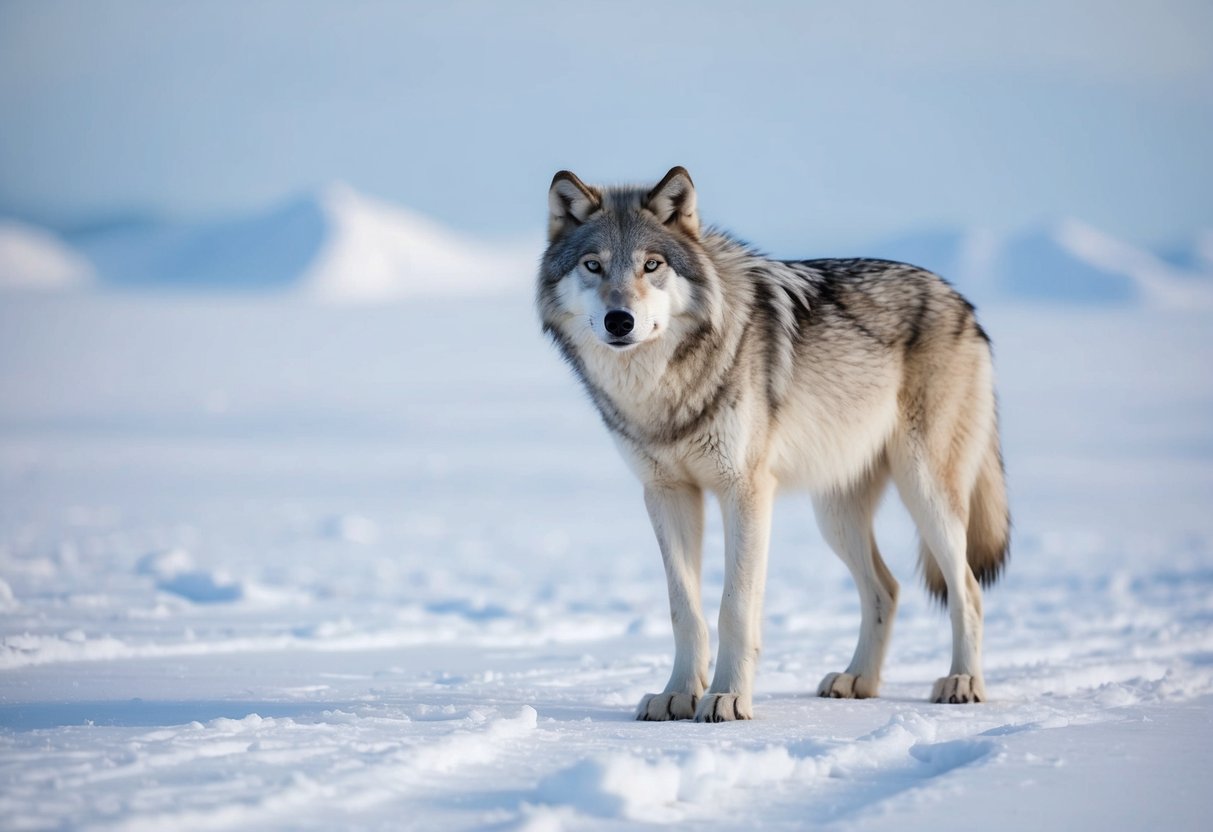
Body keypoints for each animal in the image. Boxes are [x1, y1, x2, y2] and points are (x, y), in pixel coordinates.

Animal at [537, 167, 1009, 722]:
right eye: (593, 265)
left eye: (651, 265)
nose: (619, 321)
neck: (662, 390)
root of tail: (960, 300)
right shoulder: (667, 494)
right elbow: (684, 609)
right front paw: (677, 694)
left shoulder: (745, 492)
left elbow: (734, 608)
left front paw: (727, 698)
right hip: (835, 515)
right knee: (886, 589)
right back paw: (857, 680)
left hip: (926, 491)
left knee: (967, 589)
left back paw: (963, 682)